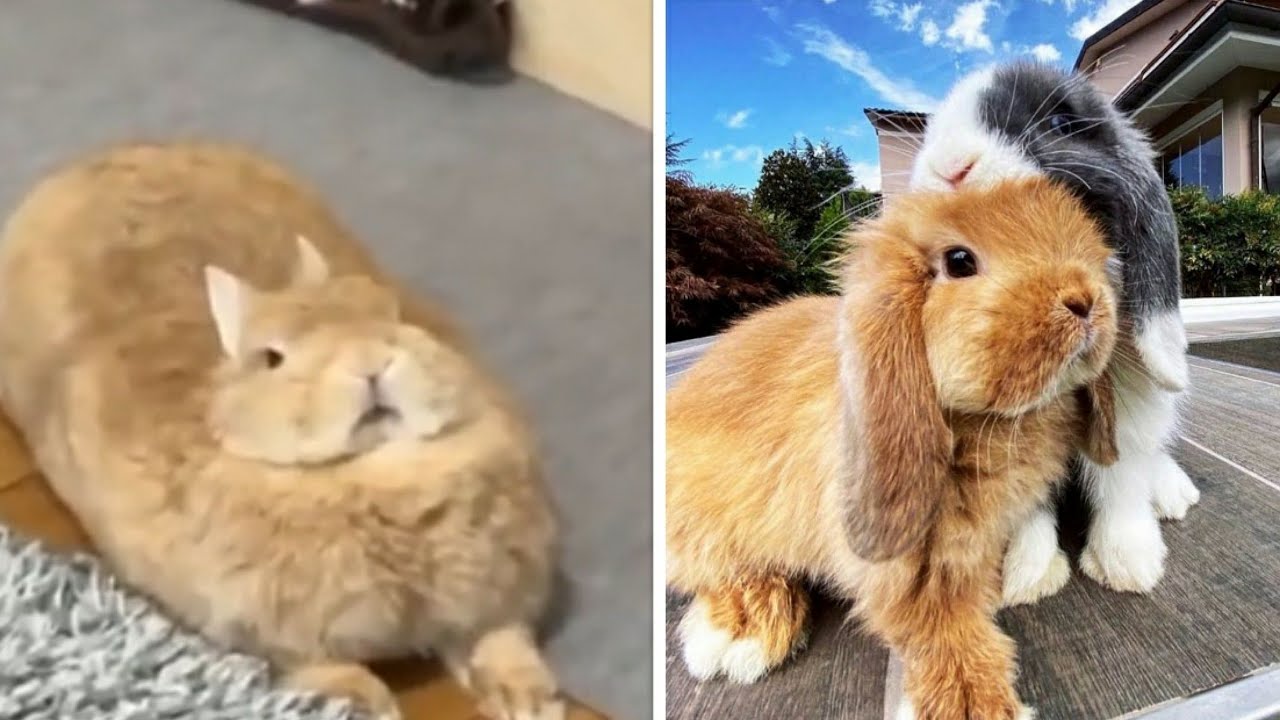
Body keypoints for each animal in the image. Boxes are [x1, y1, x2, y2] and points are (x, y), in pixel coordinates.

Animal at [0, 141, 563, 720]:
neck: (376, 471)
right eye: (271, 358)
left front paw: (527, 699)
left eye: (393, 313)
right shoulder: (257, 625)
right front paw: (361, 703)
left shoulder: (494, 588)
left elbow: (499, 633)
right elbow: (312, 663)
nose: (370, 363)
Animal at [666, 177, 1120, 720]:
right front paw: (973, 703)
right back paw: (742, 632)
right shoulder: (908, 562)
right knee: (720, 566)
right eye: (959, 261)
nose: (1084, 299)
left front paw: (1032, 575)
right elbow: (936, 624)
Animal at [908, 61, 1199, 603]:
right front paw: (1029, 573)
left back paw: (1173, 494)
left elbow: (1121, 477)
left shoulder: (1125, 411)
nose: (949, 167)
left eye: (1061, 122)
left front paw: (1126, 564)